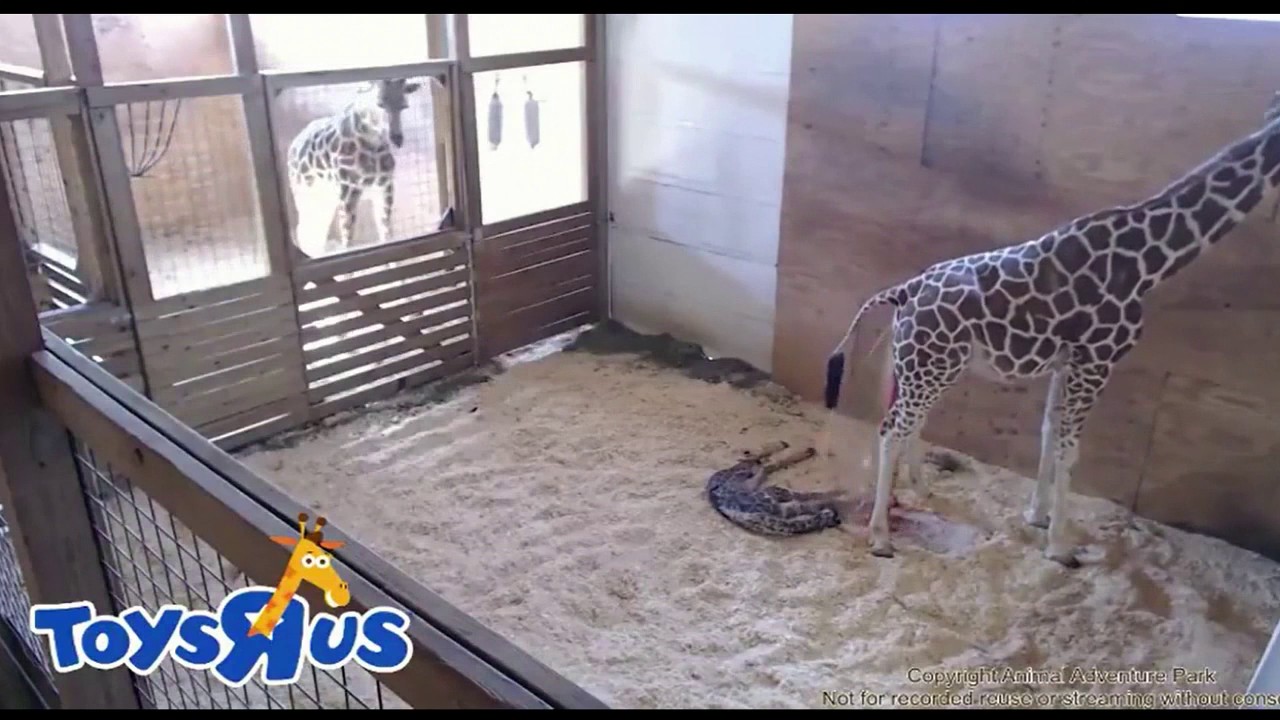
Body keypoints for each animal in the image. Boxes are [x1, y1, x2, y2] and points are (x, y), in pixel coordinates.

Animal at [286, 77, 454, 259]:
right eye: (379, 104)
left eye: (404, 106)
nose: (397, 139)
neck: (373, 143)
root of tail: (293, 146)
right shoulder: (348, 190)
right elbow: (349, 241)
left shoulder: (384, 186)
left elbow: (386, 234)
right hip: (306, 195)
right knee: (305, 232)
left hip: (326, 199)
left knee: (315, 235)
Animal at [822, 91, 1280, 569]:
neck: (1149, 263)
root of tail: (904, 291)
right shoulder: (1097, 359)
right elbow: (1069, 447)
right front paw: (1060, 546)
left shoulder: (1066, 362)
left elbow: (1047, 434)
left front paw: (1037, 517)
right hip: (932, 366)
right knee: (891, 428)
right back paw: (880, 536)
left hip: (927, 365)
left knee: (908, 422)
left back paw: (920, 487)